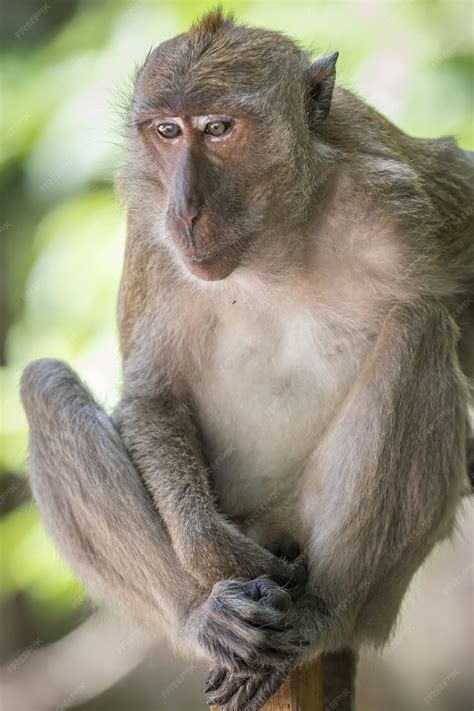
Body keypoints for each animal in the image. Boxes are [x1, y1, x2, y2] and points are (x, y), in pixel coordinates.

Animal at [20, 10, 474, 711]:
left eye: (219, 129)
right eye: (167, 130)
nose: (186, 212)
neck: (274, 242)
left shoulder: (407, 196)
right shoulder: (149, 229)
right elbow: (154, 394)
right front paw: (215, 560)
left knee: (422, 329)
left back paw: (325, 613)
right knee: (44, 386)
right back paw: (205, 616)